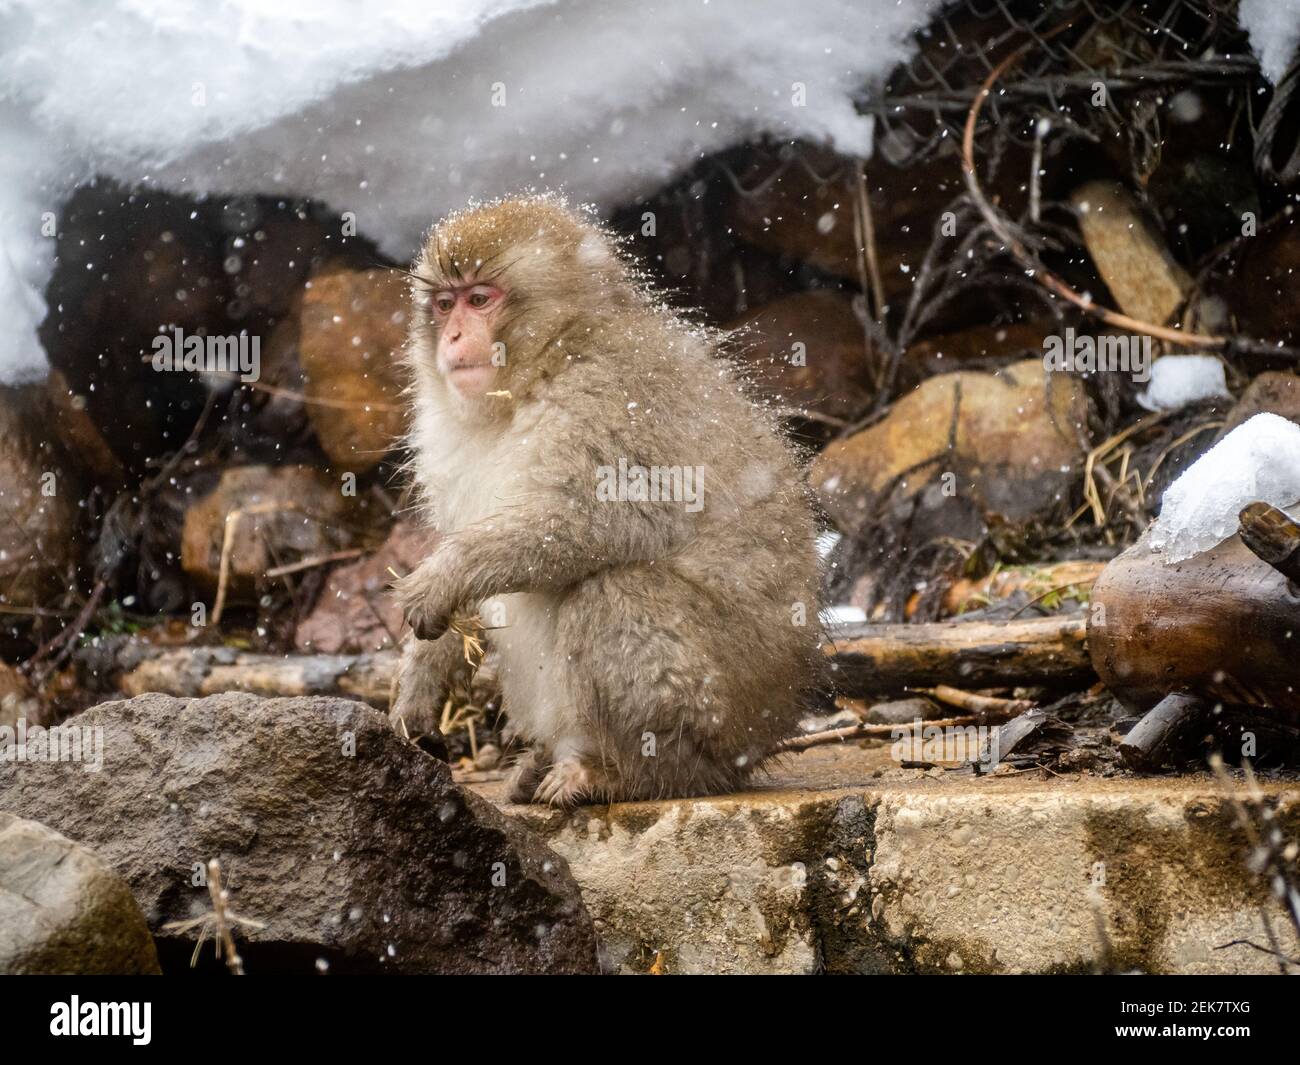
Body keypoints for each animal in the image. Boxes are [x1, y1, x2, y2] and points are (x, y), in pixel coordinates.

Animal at [388, 195, 821, 807]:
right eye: (445, 304)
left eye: (480, 299)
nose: (450, 338)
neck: (548, 363)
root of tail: (768, 729)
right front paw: (423, 678)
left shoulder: (608, 398)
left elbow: (612, 520)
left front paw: (446, 576)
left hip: (728, 711)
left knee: (614, 590)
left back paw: (630, 774)